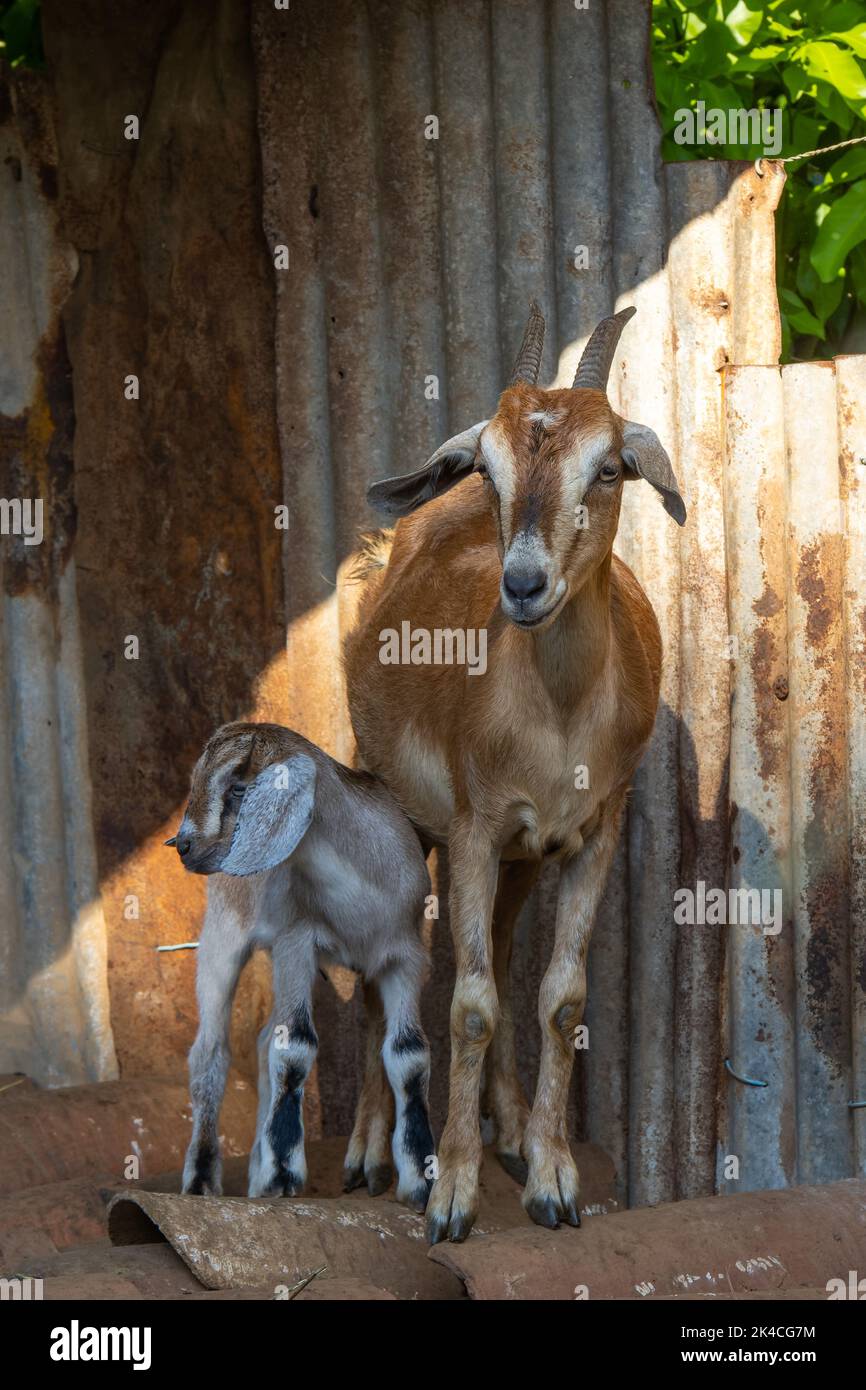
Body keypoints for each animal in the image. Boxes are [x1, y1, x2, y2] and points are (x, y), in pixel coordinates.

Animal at [169, 721, 435, 1211]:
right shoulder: (297, 942)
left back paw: (255, 1171)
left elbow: (409, 1054)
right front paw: (283, 1173)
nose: (182, 845)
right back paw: (201, 1179)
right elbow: (295, 1045)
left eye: (239, 788)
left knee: (260, 1042)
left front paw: (422, 1181)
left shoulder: (405, 956)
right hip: (225, 931)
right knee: (210, 1052)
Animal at [344, 304, 685, 1242]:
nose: (524, 584)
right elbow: (468, 1004)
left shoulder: (590, 829)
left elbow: (557, 998)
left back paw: (502, 1129)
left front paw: (551, 1177)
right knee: (383, 965)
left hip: (521, 857)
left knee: (495, 945)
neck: (559, 719)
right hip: (392, 805)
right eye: (490, 470)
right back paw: (369, 1153)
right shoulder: (470, 825)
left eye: (608, 467)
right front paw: (451, 1194)